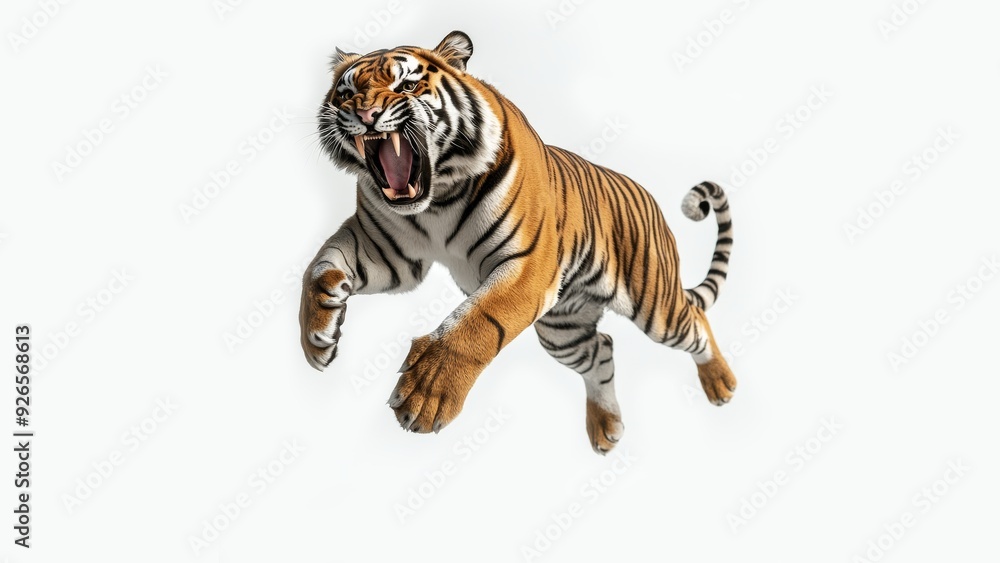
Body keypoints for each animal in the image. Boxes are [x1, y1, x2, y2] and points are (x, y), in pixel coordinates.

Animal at [301, 31, 737, 454]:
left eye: (406, 85)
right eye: (347, 93)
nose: (364, 114)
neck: (435, 199)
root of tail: (647, 195)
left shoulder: (527, 265)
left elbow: (475, 322)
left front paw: (426, 394)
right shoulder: (386, 253)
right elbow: (319, 265)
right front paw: (317, 334)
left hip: (655, 305)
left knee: (695, 323)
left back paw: (721, 384)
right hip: (563, 330)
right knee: (603, 349)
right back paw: (605, 428)